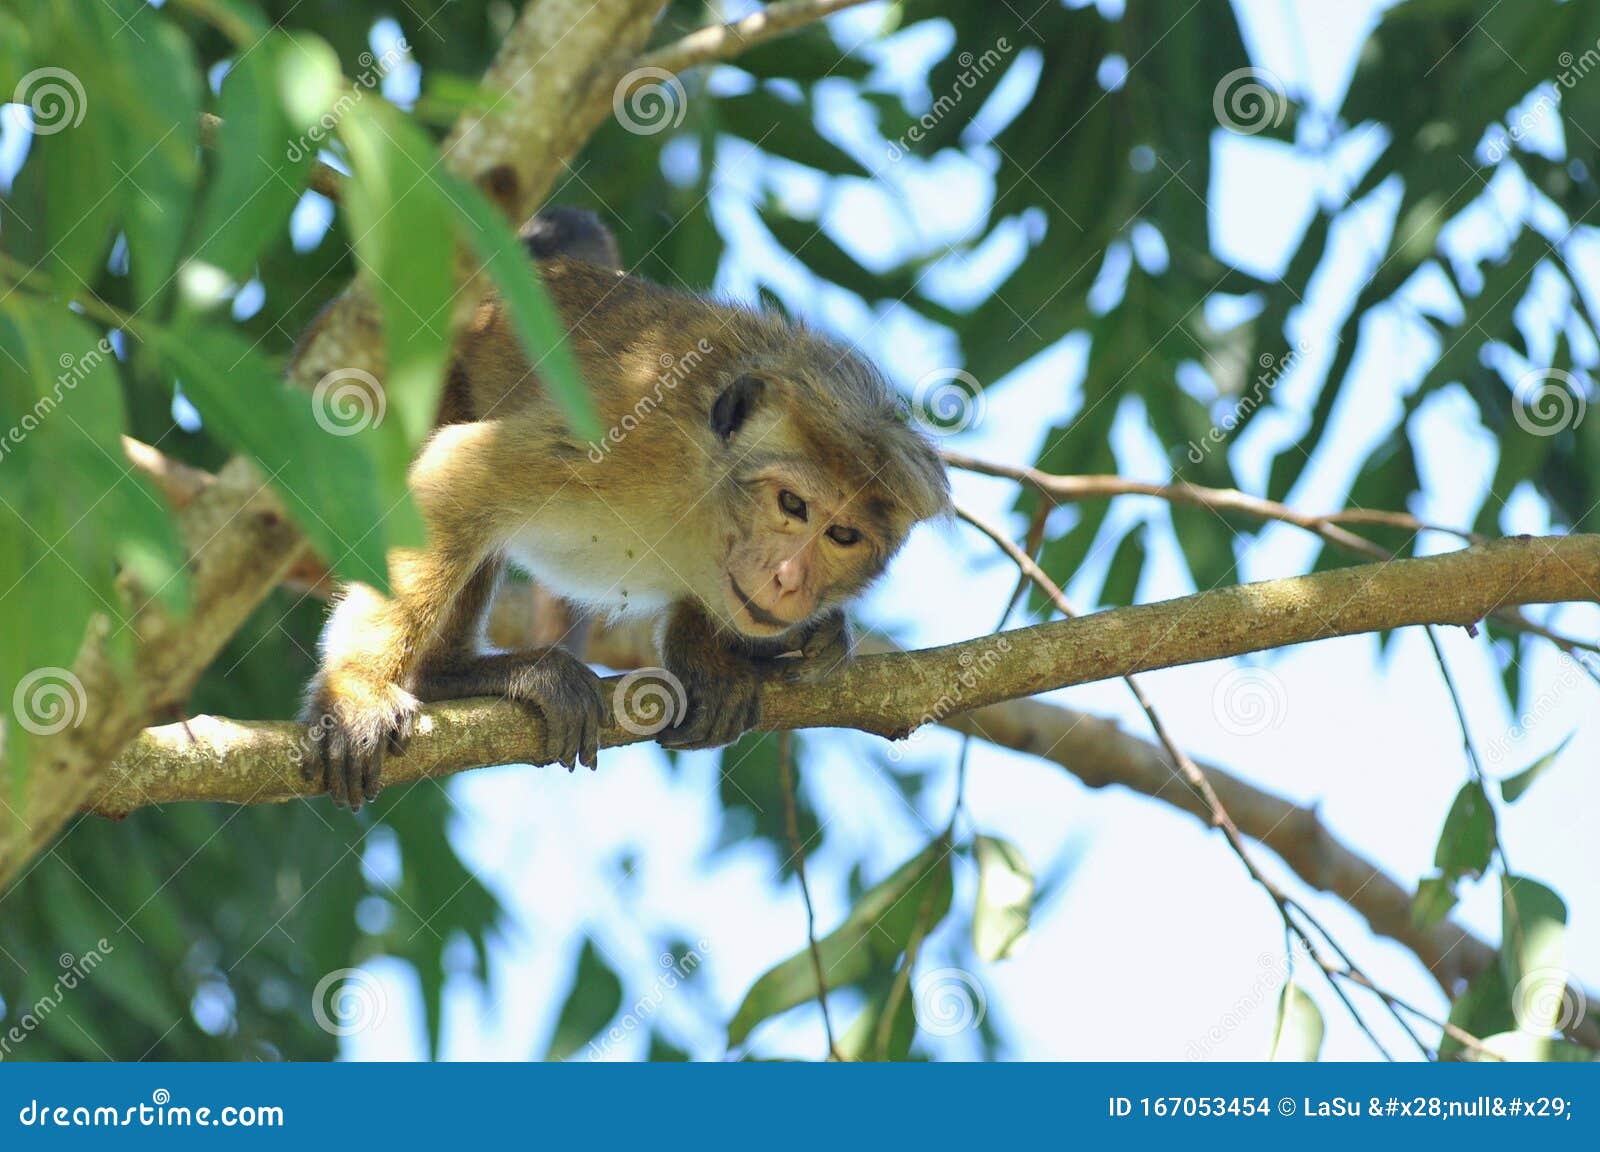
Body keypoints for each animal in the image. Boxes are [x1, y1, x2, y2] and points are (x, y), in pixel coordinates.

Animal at [300, 208, 950, 810]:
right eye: (793, 505)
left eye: (843, 536)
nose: (789, 578)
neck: (704, 504)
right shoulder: (634, 441)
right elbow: (456, 476)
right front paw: (355, 692)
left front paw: (713, 652)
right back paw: (449, 675)